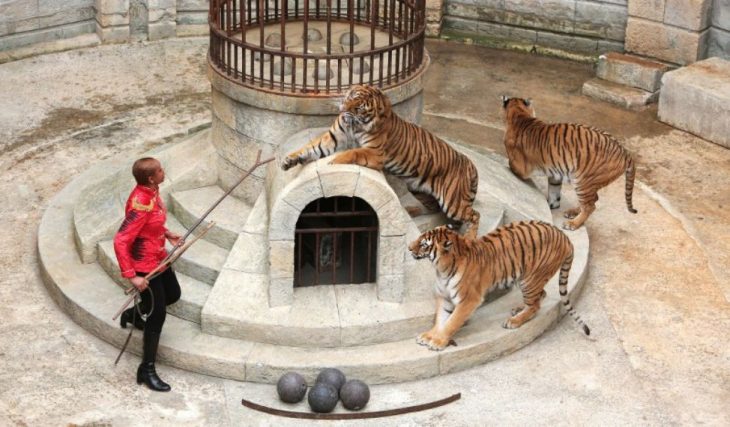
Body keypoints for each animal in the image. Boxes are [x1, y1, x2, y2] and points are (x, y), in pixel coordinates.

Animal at [281, 84, 481, 238]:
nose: (344, 110)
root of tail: (471, 165)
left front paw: (334, 161)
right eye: (351, 97)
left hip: (452, 201)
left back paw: (470, 237)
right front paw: (288, 160)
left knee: (474, 215)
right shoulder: (332, 139)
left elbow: (353, 152)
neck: (354, 125)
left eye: (359, 107)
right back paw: (411, 211)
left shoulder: (374, 153)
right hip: (418, 188)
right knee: (433, 208)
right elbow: (309, 148)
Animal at [408, 221, 590, 351]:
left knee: (535, 305)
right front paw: (429, 336)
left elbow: (452, 322)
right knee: (540, 295)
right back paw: (519, 309)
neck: (441, 269)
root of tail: (564, 236)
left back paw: (514, 321)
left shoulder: (469, 300)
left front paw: (438, 341)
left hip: (530, 279)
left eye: (423, 244)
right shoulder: (444, 297)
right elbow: (440, 320)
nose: (409, 248)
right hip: (529, 277)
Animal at [501, 96, 638, 230]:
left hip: (583, 181)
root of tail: (625, 153)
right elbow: (554, 190)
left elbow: (511, 165)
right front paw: (552, 204)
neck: (520, 115)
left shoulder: (521, 167)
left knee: (590, 206)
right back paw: (572, 212)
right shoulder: (555, 173)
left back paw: (573, 224)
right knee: (593, 199)